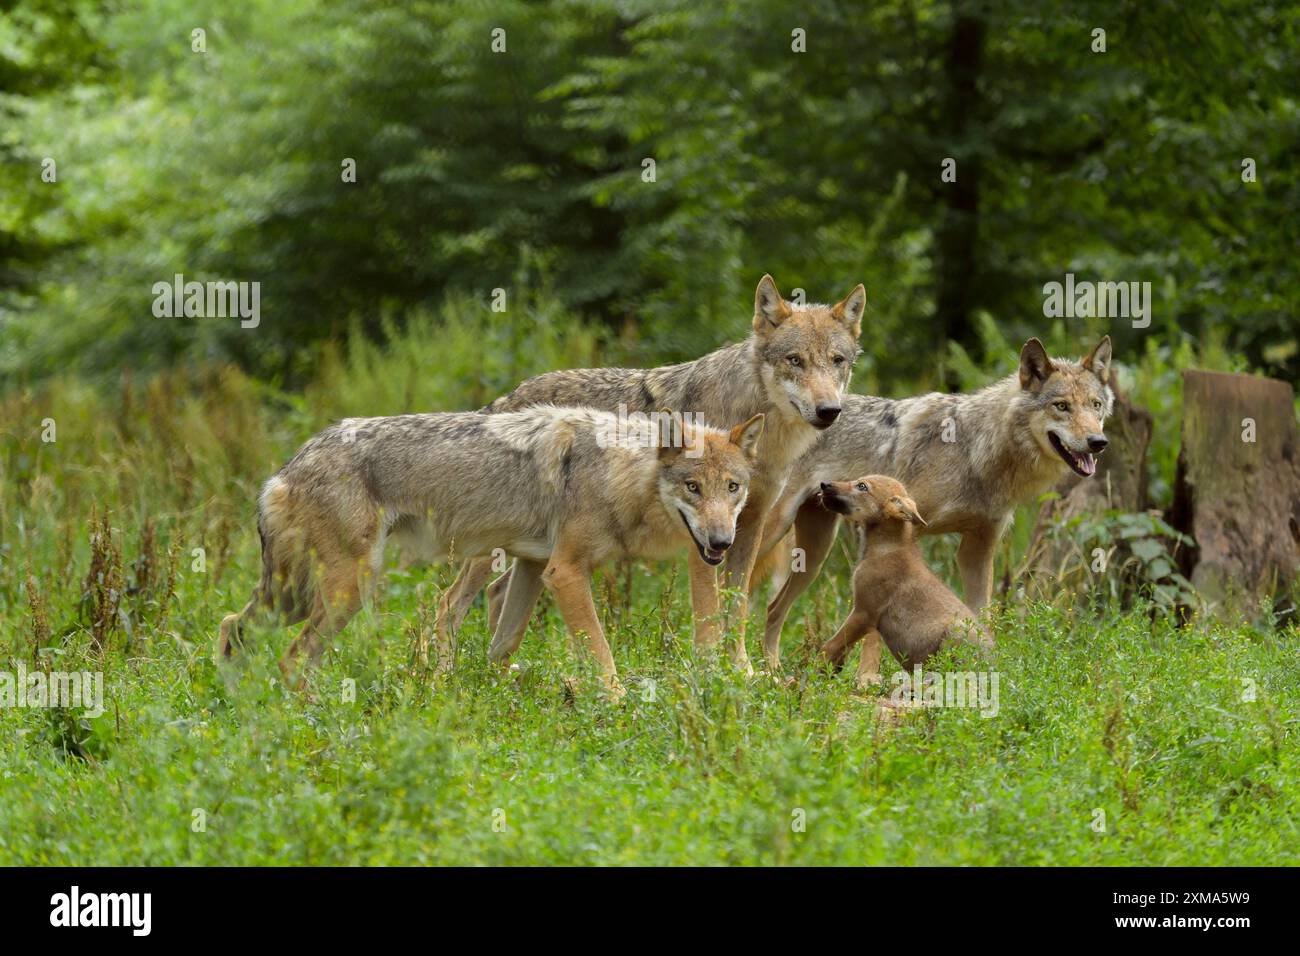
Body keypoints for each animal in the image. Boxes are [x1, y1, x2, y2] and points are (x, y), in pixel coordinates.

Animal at [217, 406, 765, 697]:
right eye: (693, 487)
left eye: (732, 488)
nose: (722, 542)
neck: (617, 473)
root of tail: (285, 468)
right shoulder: (566, 573)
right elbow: (601, 653)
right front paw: (619, 705)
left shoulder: (534, 566)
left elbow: (503, 645)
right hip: (344, 592)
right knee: (290, 660)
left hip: (296, 598)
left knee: (232, 625)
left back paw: (229, 696)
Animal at [438, 274, 865, 672]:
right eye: (795, 360)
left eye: (837, 361)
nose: (829, 410)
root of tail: (505, 398)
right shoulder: (702, 537)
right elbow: (710, 612)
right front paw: (715, 674)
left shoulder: (747, 524)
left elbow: (738, 605)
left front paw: (741, 671)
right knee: (449, 601)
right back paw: (445, 677)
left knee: (497, 594)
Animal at [817, 475, 991, 689]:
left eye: (862, 486)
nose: (823, 484)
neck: (886, 546)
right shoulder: (867, 619)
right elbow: (842, 649)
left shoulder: (864, 612)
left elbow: (829, 646)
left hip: (956, 632)